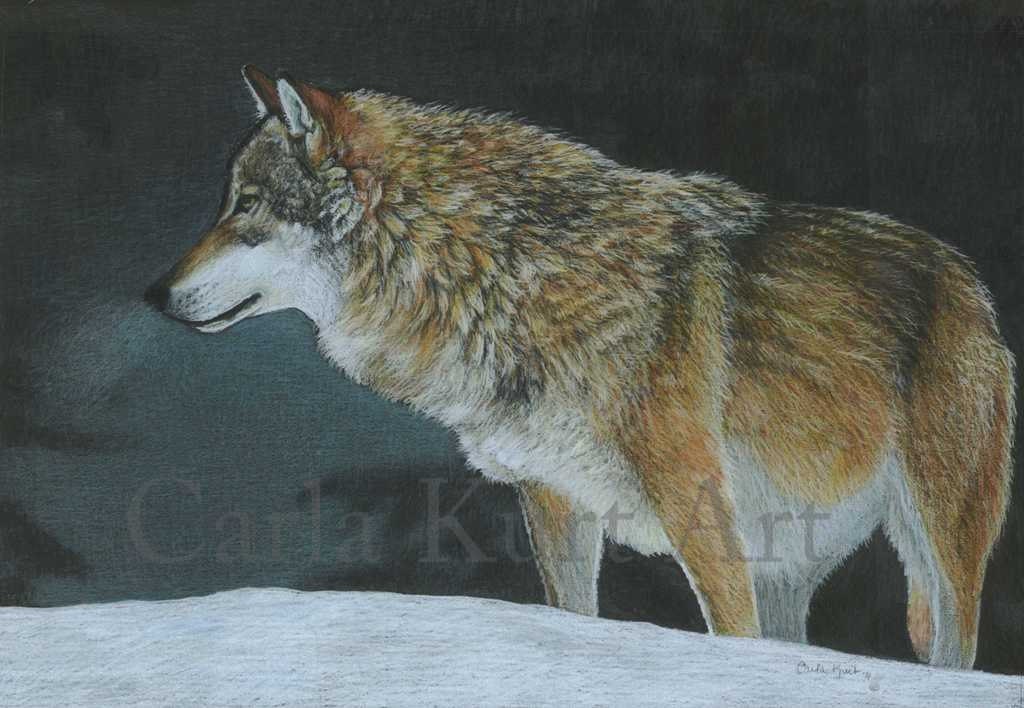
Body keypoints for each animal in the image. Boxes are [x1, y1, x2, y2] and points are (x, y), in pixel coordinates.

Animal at [146, 66, 1015, 669]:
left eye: (246, 205)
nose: (154, 293)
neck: (500, 271)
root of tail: (968, 280)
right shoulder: (554, 499)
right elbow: (573, 617)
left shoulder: (697, 506)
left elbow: (725, 633)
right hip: (787, 562)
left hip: (939, 547)